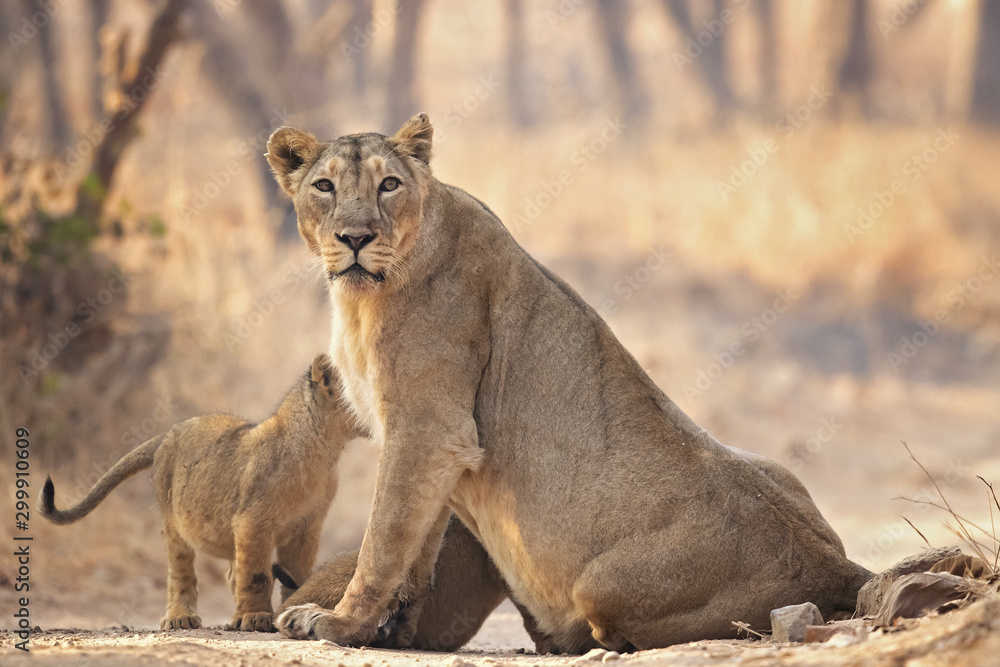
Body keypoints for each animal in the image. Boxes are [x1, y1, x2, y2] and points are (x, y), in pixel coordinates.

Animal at [40, 354, 355, 632]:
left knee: (231, 572)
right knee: (181, 571)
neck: (324, 453)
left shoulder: (306, 529)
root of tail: (168, 433)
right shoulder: (253, 521)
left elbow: (299, 574)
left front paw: (291, 606)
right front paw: (254, 617)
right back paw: (181, 618)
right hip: (174, 522)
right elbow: (256, 575)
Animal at [265, 114, 874, 652]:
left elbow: (383, 541)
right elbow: (415, 553)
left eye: (388, 185)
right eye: (324, 186)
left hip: (601, 582)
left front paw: (339, 624)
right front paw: (384, 631)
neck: (363, 297)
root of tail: (838, 565)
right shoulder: (435, 448)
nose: (355, 237)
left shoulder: (429, 429)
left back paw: (567, 635)